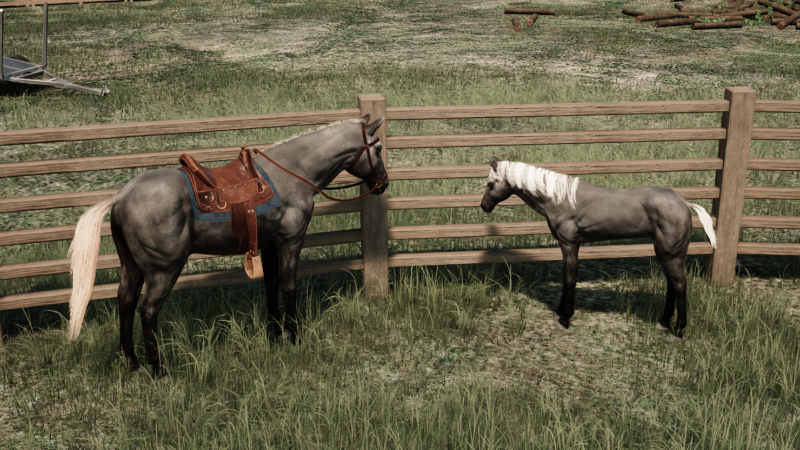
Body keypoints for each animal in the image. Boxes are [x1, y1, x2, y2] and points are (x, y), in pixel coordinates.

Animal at [67, 115, 388, 377]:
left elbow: (271, 286)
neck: (291, 173)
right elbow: (288, 287)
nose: (383, 183)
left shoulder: (269, 245)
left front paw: (275, 336)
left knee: (126, 302)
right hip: (163, 271)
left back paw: (133, 364)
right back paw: (159, 370)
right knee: (147, 310)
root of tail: (122, 196)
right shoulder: (291, 242)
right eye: (379, 149)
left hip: (131, 268)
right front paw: (294, 337)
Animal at [480, 156, 716, 339]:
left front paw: (564, 319)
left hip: (671, 253)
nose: (484, 206)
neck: (561, 199)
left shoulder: (570, 245)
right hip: (664, 252)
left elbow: (569, 279)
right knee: (671, 283)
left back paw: (678, 331)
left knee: (680, 284)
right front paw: (559, 312)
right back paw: (663, 322)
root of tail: (685, 203)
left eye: (491, 184)